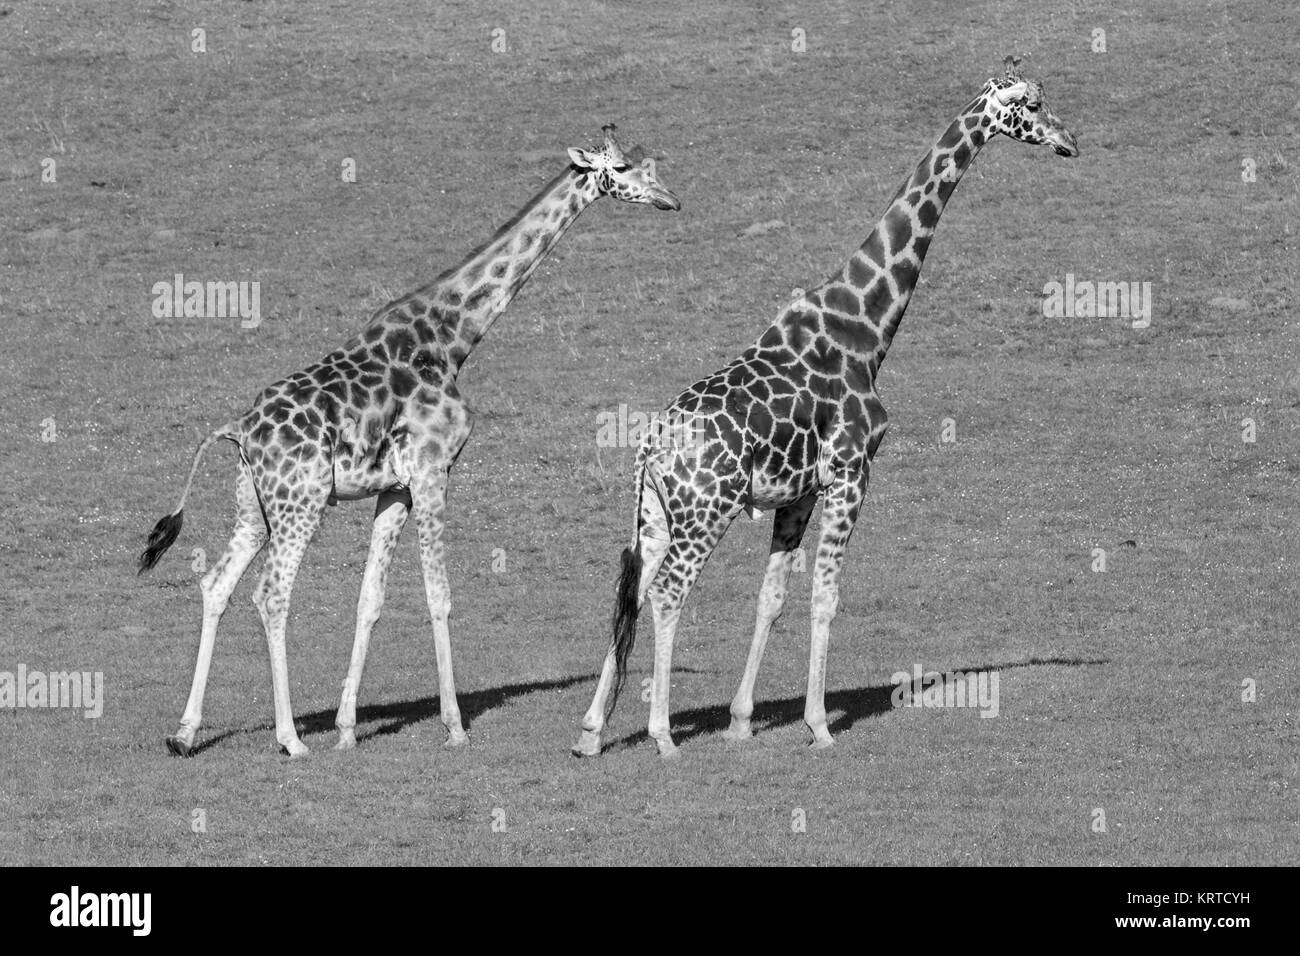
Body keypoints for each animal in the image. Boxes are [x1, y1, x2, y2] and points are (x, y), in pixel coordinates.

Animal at [139, 125, 681, 758]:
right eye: (621, 167)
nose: (670, 199)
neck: (452, 337)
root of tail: (239, 430)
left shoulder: (393, 487)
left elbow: (370, 600)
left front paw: (348, 728)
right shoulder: (432, 470)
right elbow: (437, 595)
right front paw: (454, 726)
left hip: (254, 507)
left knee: (216, 585)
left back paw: (184, 732)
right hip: (301, 503)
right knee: (271, 595)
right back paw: (290, 738)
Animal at [573, 60, 1079, 758]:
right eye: (1029, 104)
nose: (1070, 141)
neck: (867, 321)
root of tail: (650, 444)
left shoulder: (798, 494)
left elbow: (772, 596)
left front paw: (740, 720)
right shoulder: (850, 474)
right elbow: (826, 596)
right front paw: (817, 724)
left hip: (655, 514)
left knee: (633, 587)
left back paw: (592, 732)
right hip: (706, 511)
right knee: (670, 591)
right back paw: (662, 734)